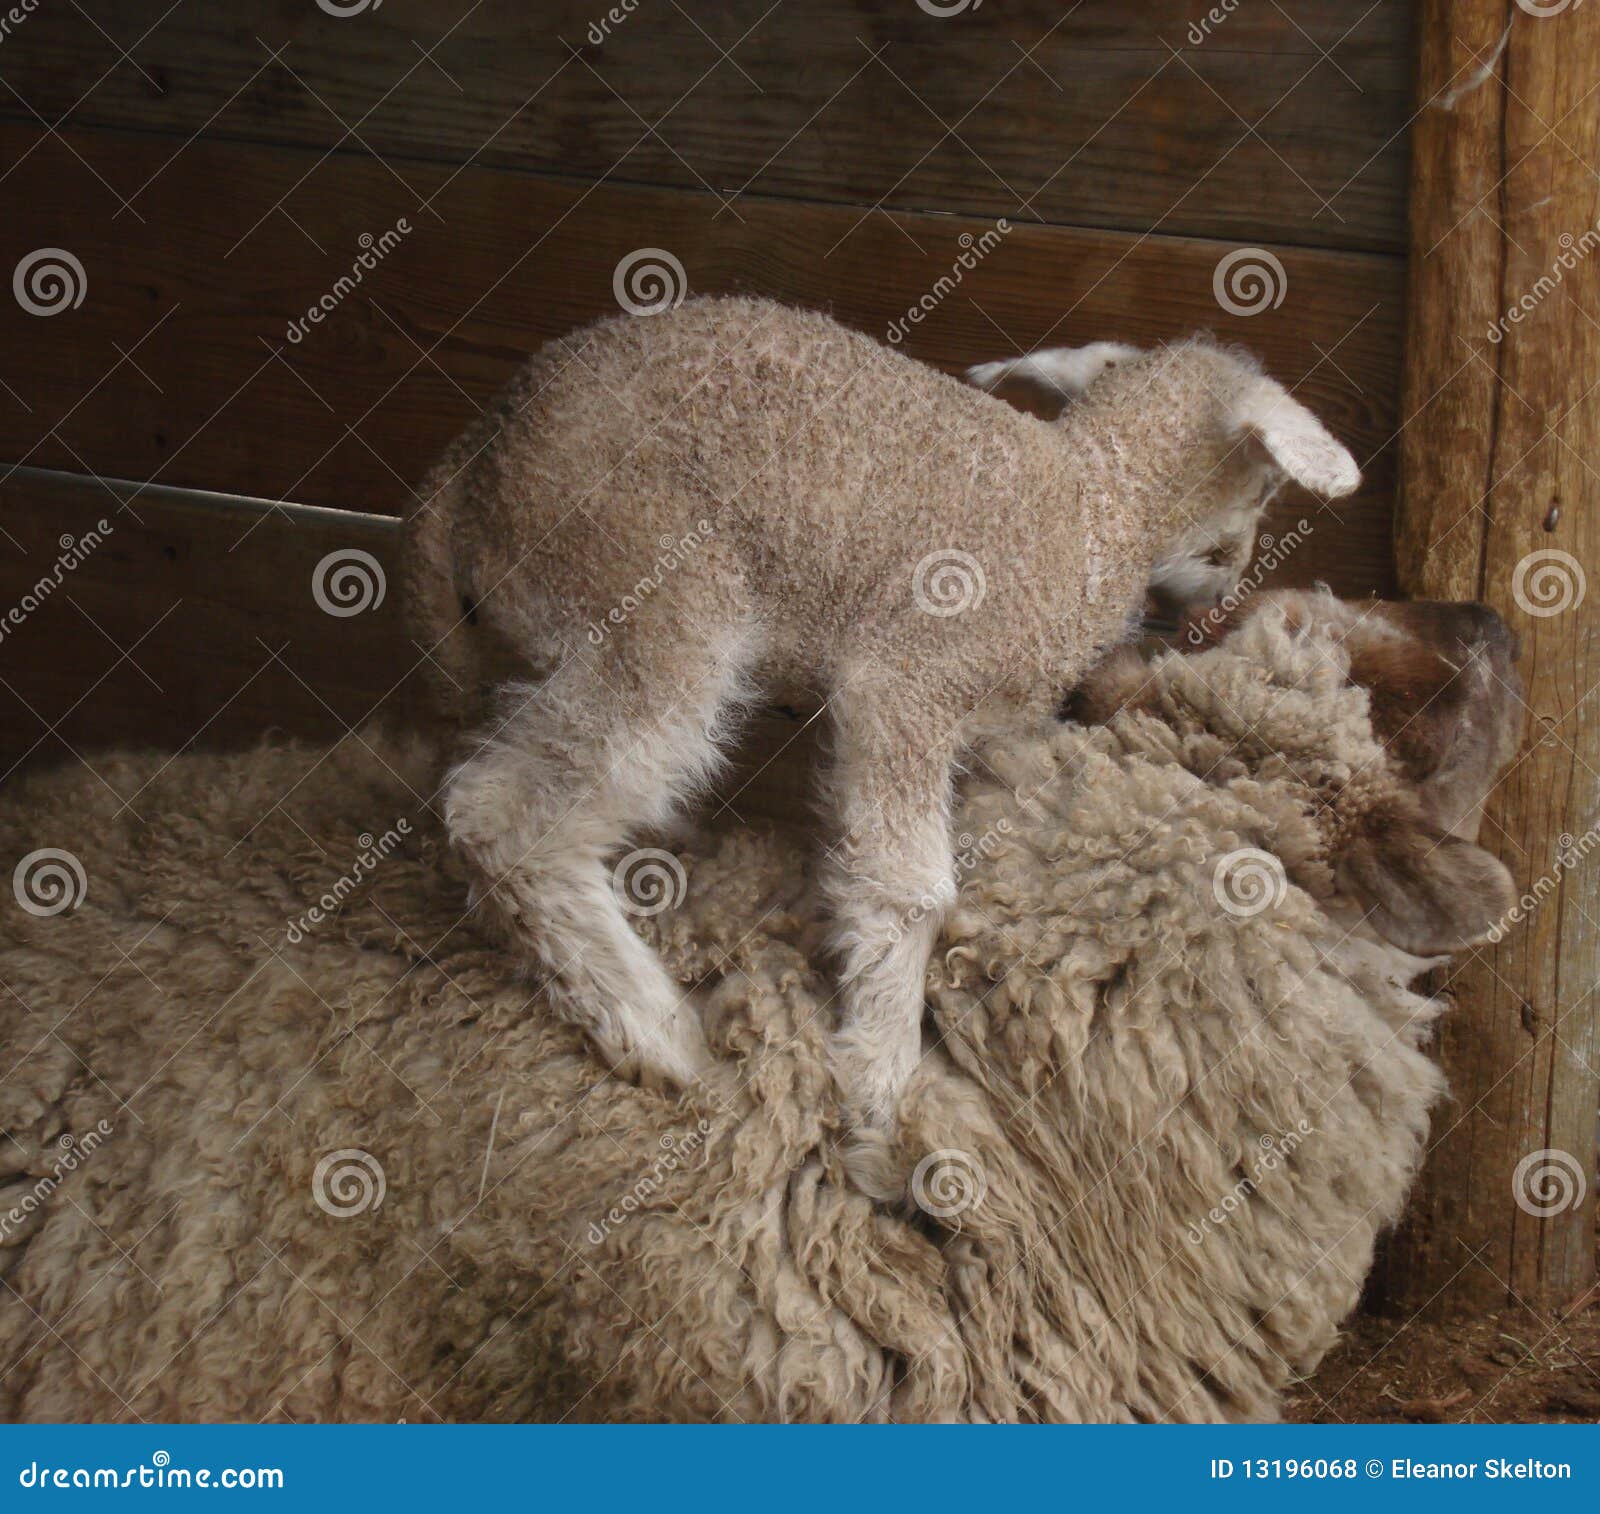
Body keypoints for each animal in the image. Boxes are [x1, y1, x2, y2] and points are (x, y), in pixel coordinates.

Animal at [401, 295, 1362, 1149]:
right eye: (1266, 488)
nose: (1232, 585)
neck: (1100, 508)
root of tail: (473, 462)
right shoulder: (908, 681)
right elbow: (911, 888)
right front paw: (879, 1079)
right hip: (647, 594)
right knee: (502, 810)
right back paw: (652, 1029)